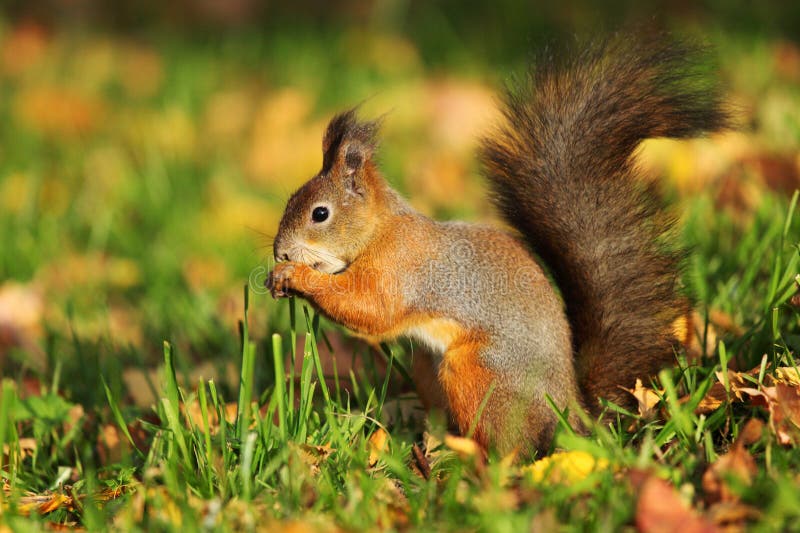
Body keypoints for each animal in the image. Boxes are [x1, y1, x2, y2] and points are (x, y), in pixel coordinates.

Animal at [266, 34, 728, 456]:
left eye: (320, 214)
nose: (280, 252)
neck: (381, 230)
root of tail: (571, 414)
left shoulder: (401, 269)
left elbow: (369, 307)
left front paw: (295, 275)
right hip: (429, 367)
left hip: (478, 371)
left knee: (513, 446)